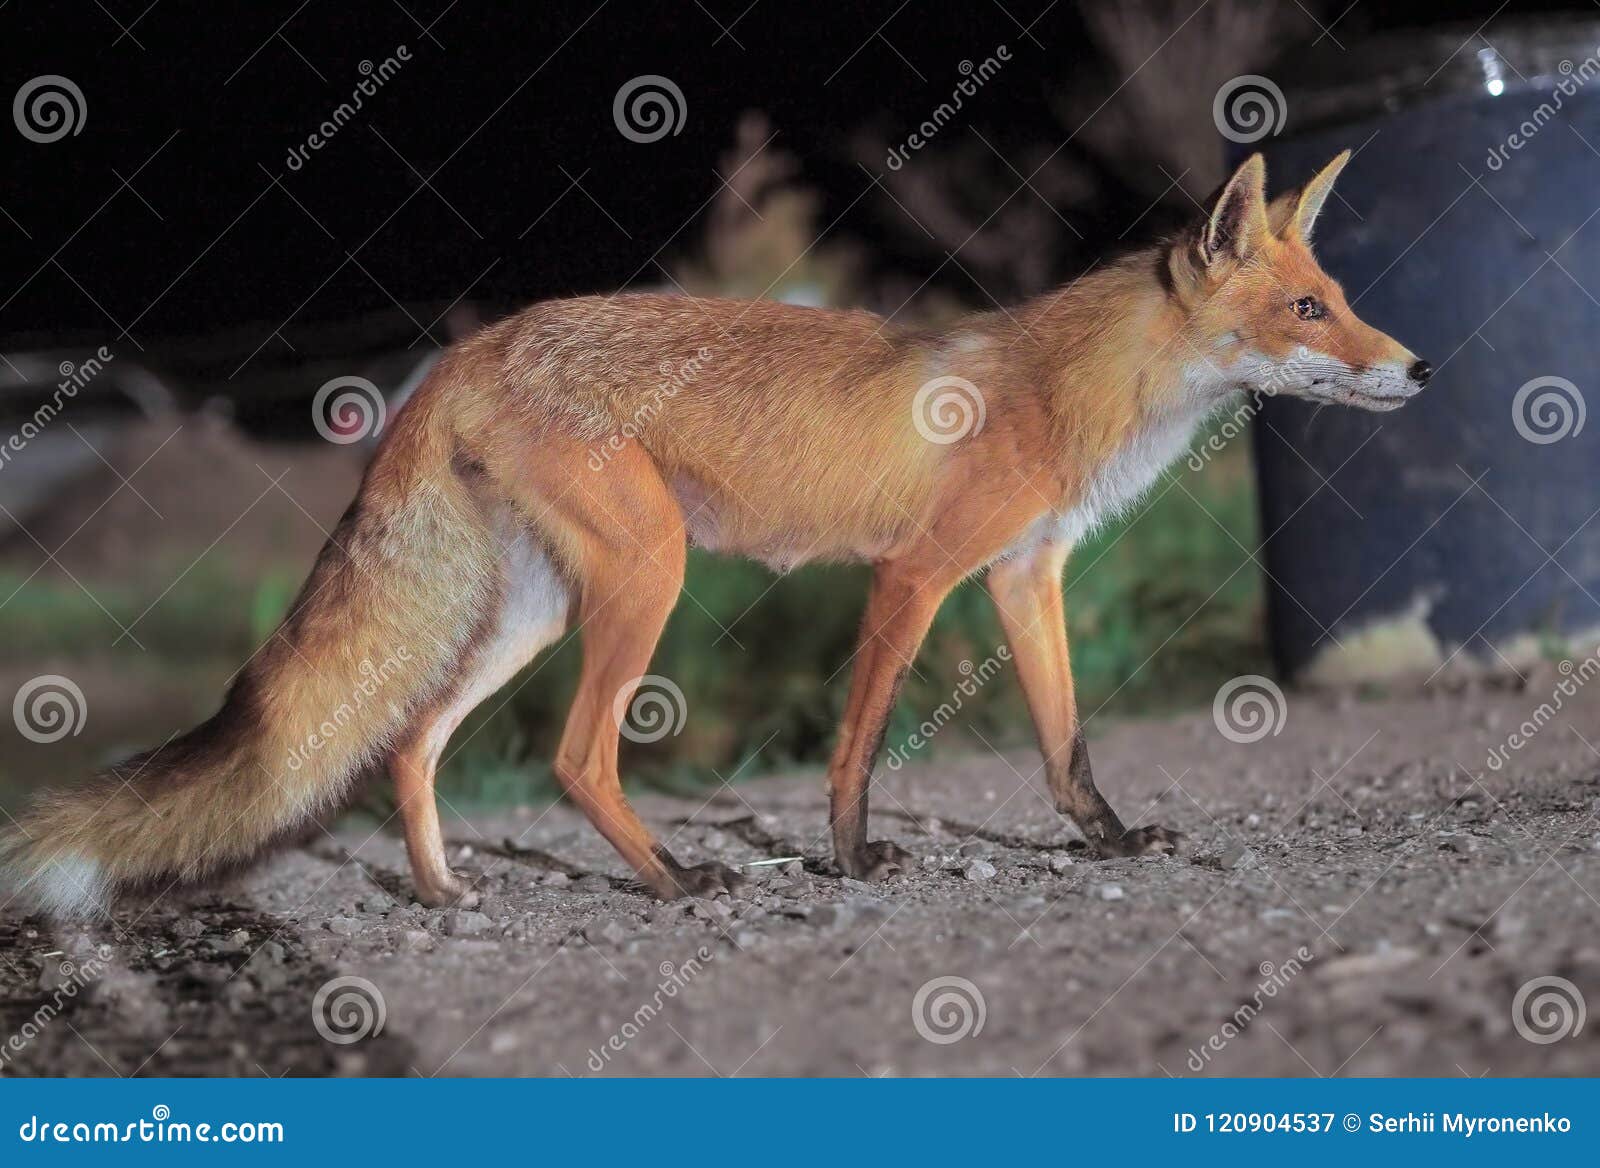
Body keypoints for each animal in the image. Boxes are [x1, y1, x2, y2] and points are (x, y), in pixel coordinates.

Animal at [1, 150, 1430, 918]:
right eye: (1309, 308)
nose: (1416, 368)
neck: (1060, 390)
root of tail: (465, 350)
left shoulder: (1027, 574)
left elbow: (1066, 744)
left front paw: (1111, 843)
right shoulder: (918, 572)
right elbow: (858, 746)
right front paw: (848, 860)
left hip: (538, 609)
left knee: (413, 739)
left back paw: (444, 889)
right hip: (647, 576)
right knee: (576, 757)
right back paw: (674, 880)